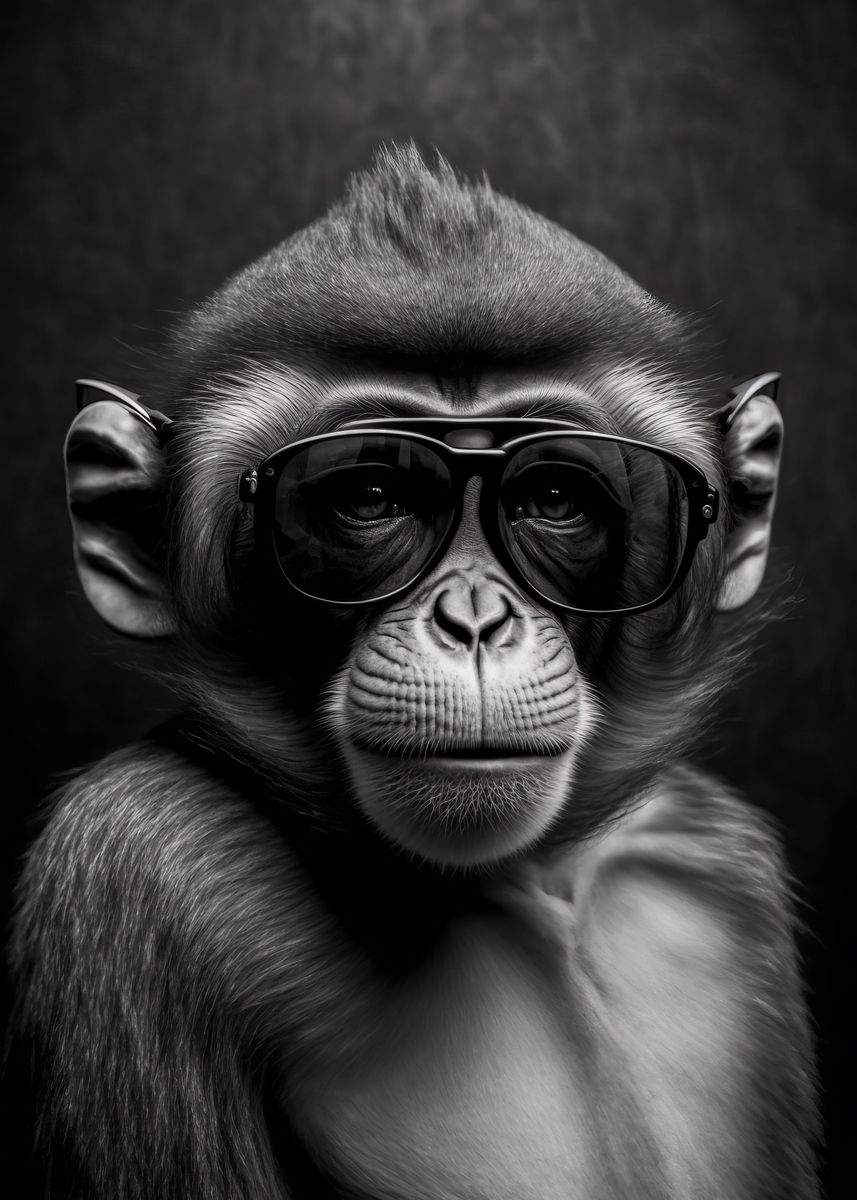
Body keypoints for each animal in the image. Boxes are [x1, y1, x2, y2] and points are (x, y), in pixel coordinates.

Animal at [6, 145, 819, 1199]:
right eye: (369, 496)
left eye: (553, 496)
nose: (472, 616)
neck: (518, 881)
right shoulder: (138, 852)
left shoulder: (716, 863)